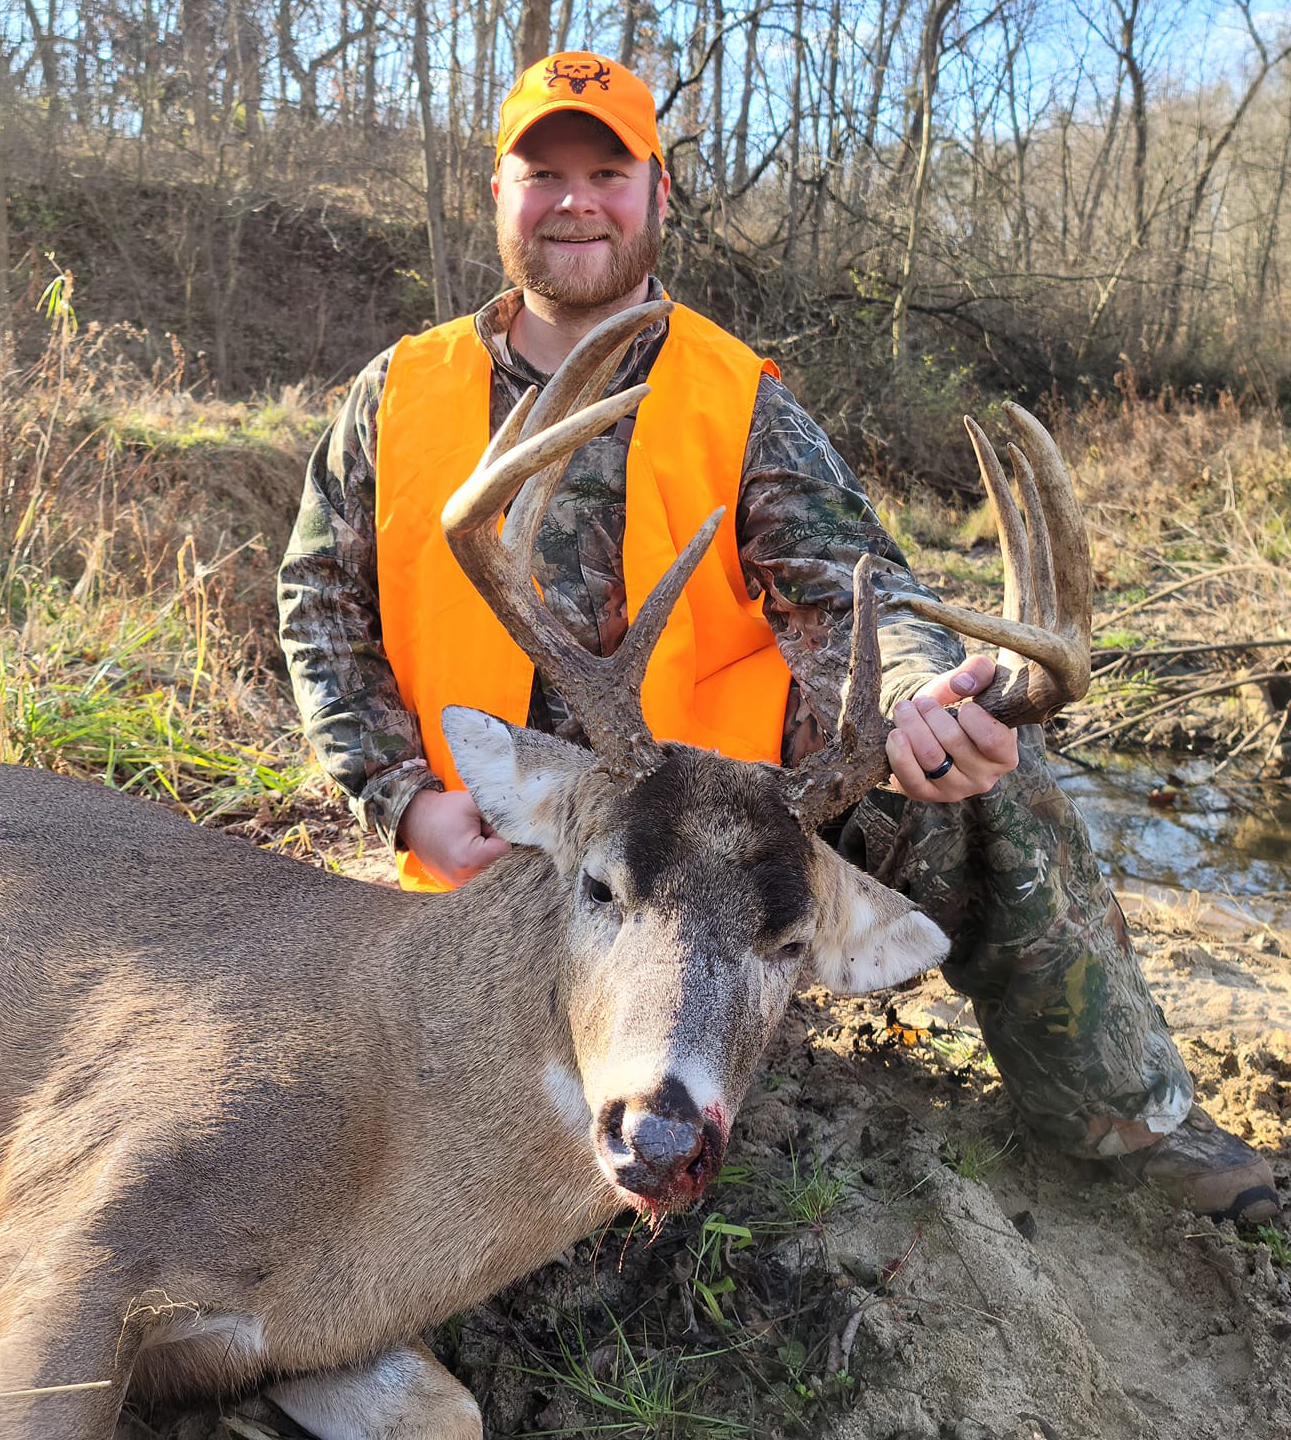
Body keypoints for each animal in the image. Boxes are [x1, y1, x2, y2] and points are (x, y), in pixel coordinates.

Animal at [0, 301, 1091, 1440]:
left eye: (790, 943)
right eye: (598, 884)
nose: (660, 1138)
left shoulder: (312, 1336)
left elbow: (456, 1409)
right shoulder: (81, 1219)